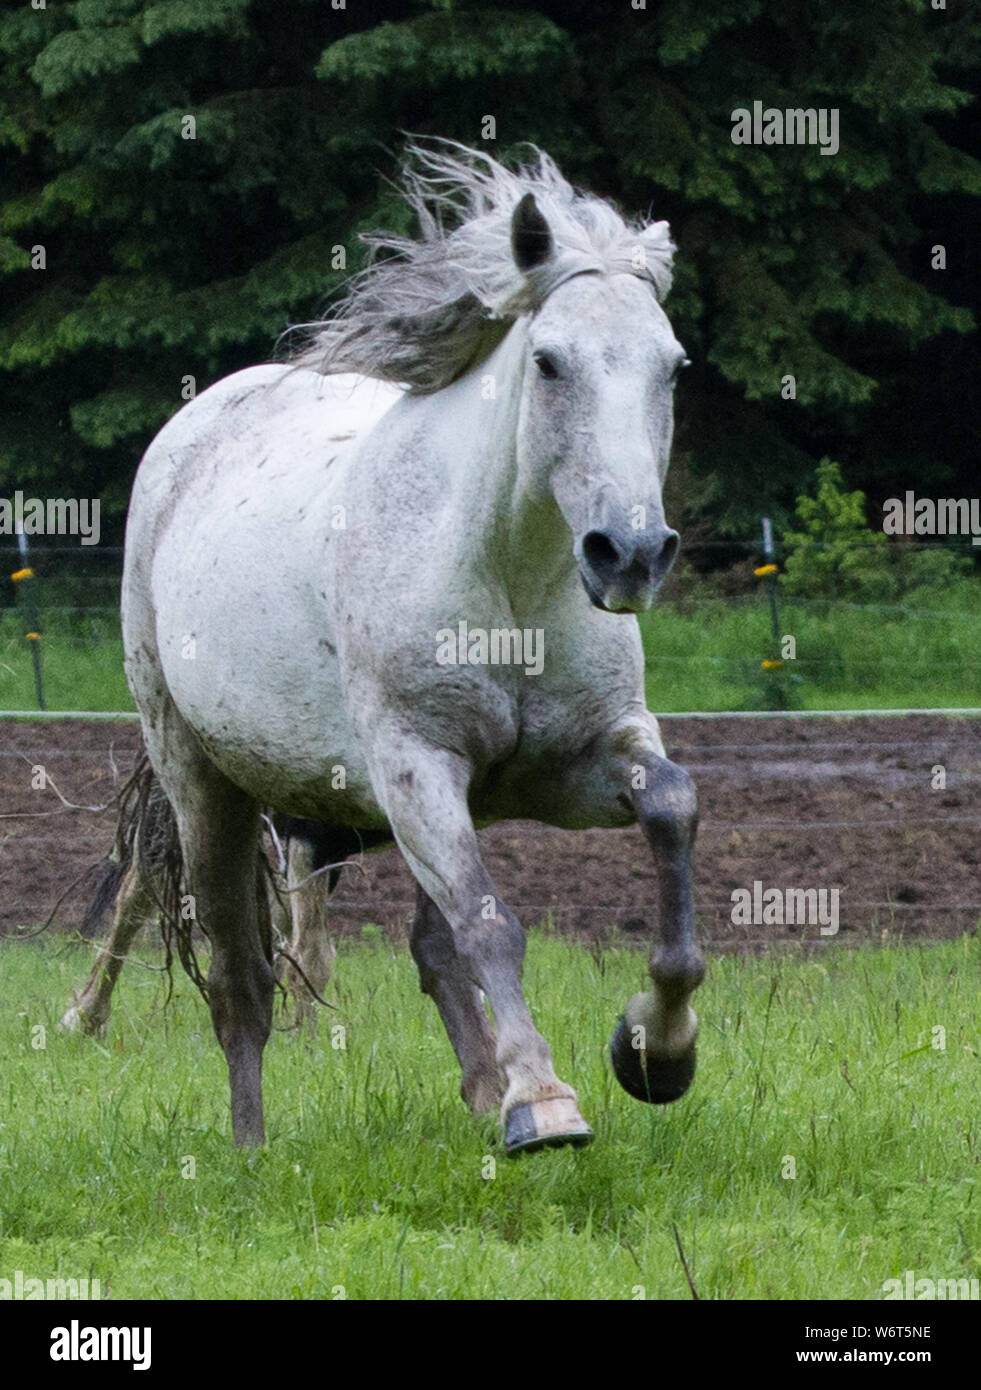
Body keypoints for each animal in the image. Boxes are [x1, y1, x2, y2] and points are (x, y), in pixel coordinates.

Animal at [120, 139, 704, 1153]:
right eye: (548, 362)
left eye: (670, 366)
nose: (629, 553)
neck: (507, 579)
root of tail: (189, 435)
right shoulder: (414, 765)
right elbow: (490, 925)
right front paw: (546, 1104)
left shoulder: (574, 764)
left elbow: (671, 809)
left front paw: (654, 1051)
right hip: (205, 784)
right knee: (241, 981)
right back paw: (252, 1152)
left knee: (429, 947)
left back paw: (483, 1094)